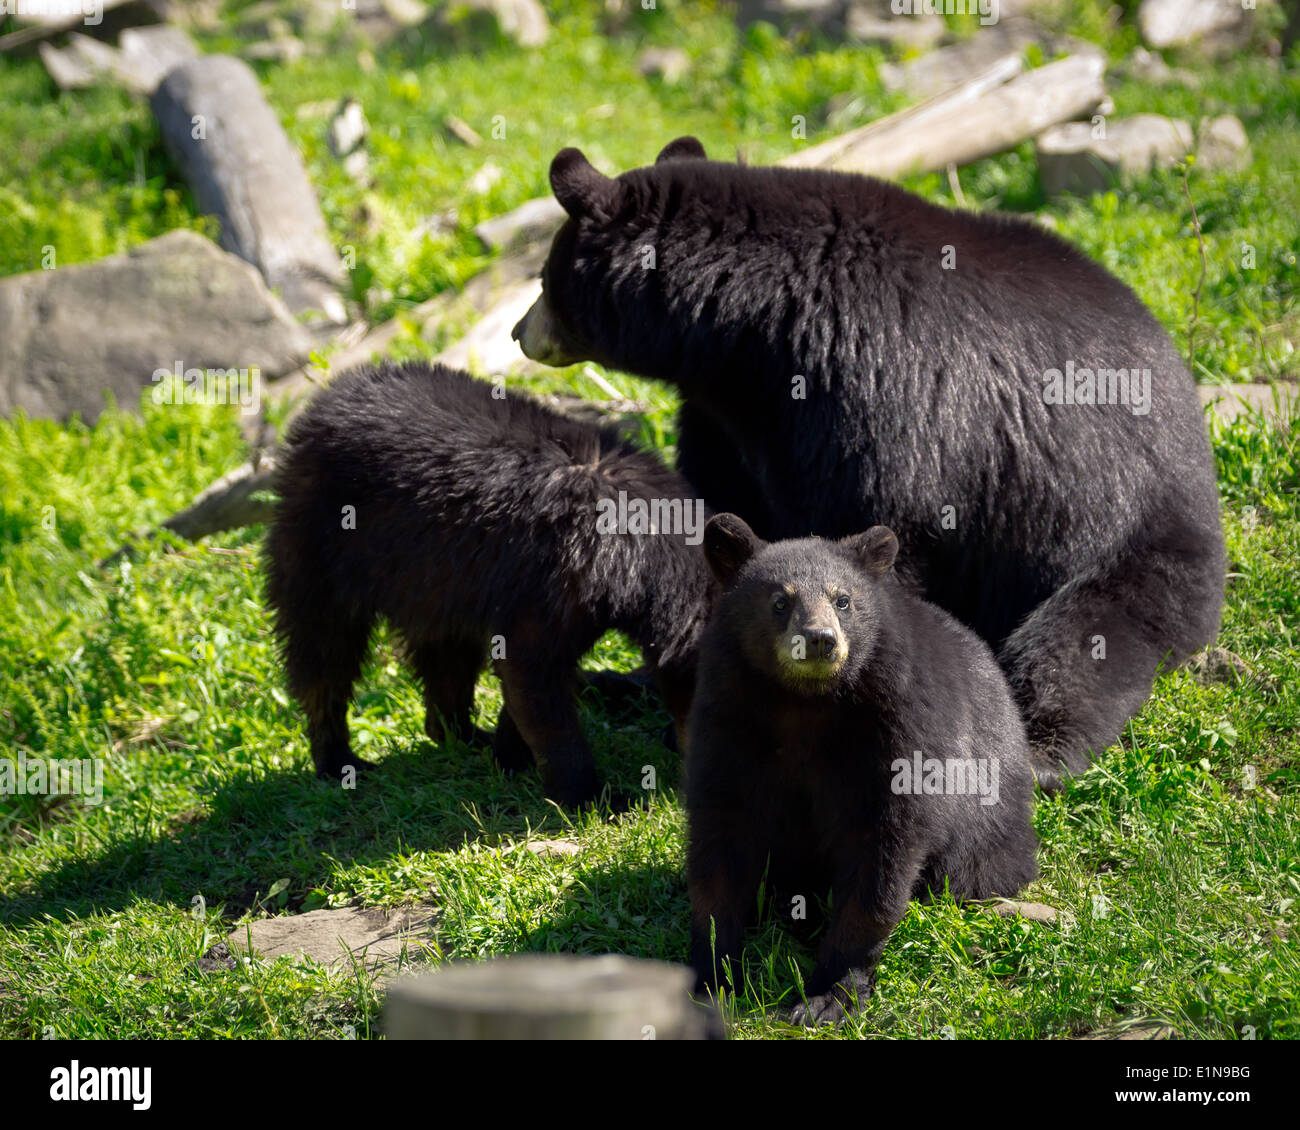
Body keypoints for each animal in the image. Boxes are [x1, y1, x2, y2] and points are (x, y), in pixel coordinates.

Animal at [263, 361, 711, 807]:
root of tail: (326, 399)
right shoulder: (565, 574)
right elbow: (533, 667)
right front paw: (591, 797)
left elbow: (527, 675)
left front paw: (510, 755)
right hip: (321, 541)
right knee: (325, 651)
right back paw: (338, 759)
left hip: (434, 578)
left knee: (448, 656)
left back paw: (461, 734)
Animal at [512, 137, 1226, 793]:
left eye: (545, 280)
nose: (519, 332)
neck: (748, 332)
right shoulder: (731, 415)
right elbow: (724, 522)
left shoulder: (872, 384)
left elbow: (871, 526)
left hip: (1123, 536)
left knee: (1079, 645)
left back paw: (1041, 749)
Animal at [686, 513, 1039, 1026]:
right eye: (779, 601)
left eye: (843, 600)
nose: (820, 640)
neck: (804, 704)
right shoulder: (727, 718)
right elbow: (720, 837)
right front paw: (712, 975)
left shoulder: (897, 726)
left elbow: (883, 847)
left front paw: (828, 995)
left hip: (988, 827)